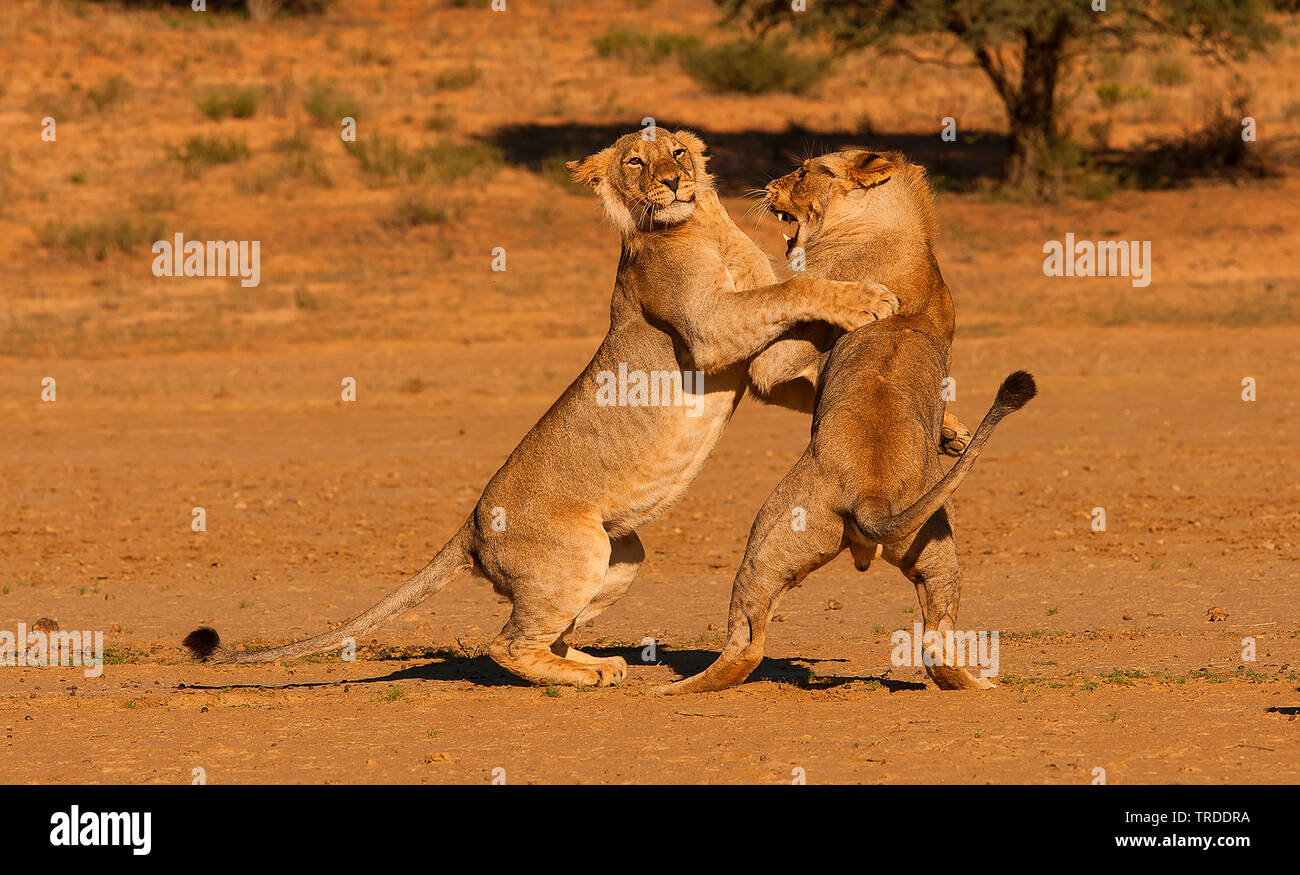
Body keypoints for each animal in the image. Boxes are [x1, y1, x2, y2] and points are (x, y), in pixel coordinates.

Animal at [183, 128, 902, 687]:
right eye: (634, 163)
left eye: (676, 152)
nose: (673, 182)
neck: (703, 224)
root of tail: (472, 525)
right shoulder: (709, 330)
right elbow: (794, 290)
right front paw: (868, 298)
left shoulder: (748, 363)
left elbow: (790, 353)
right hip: (577, 553)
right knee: (505, 643)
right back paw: (584, 677)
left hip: (620, 556)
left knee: (549, 632)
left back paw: (596, 662)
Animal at [659, 150, 1036, 695]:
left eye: (801, 171)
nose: (769, 185)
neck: (898, 233)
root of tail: (871, 497)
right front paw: (952, 433)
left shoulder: (782, 356)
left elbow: (776, 337)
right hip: (938, 549)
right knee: (936, 641)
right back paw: (980, 684)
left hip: (767, 538)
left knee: (746, 640)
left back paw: (674, 687)